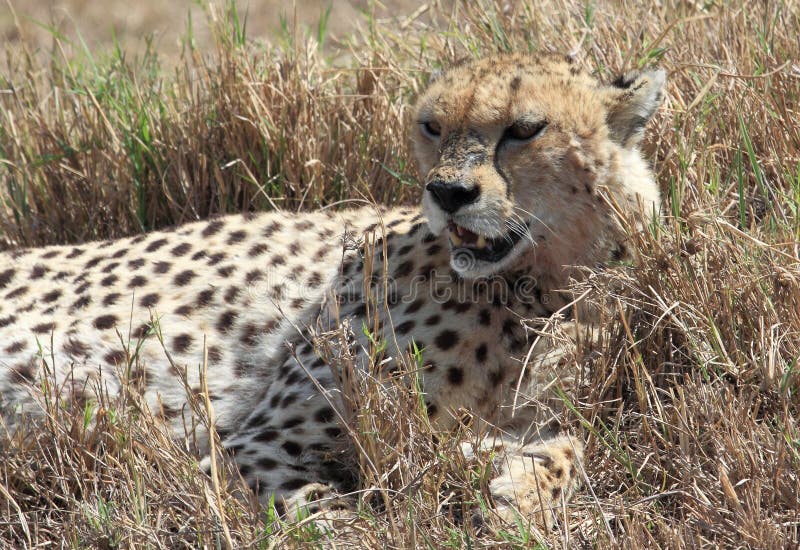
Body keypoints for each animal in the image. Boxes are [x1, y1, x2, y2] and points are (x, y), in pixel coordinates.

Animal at [0, 52, 665, 528]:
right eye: (433, 126)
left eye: (525, 129)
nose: (448, 193)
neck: (535, 289)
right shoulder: (251, 440)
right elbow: (330, 513)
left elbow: (573, 443)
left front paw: (520, 492)